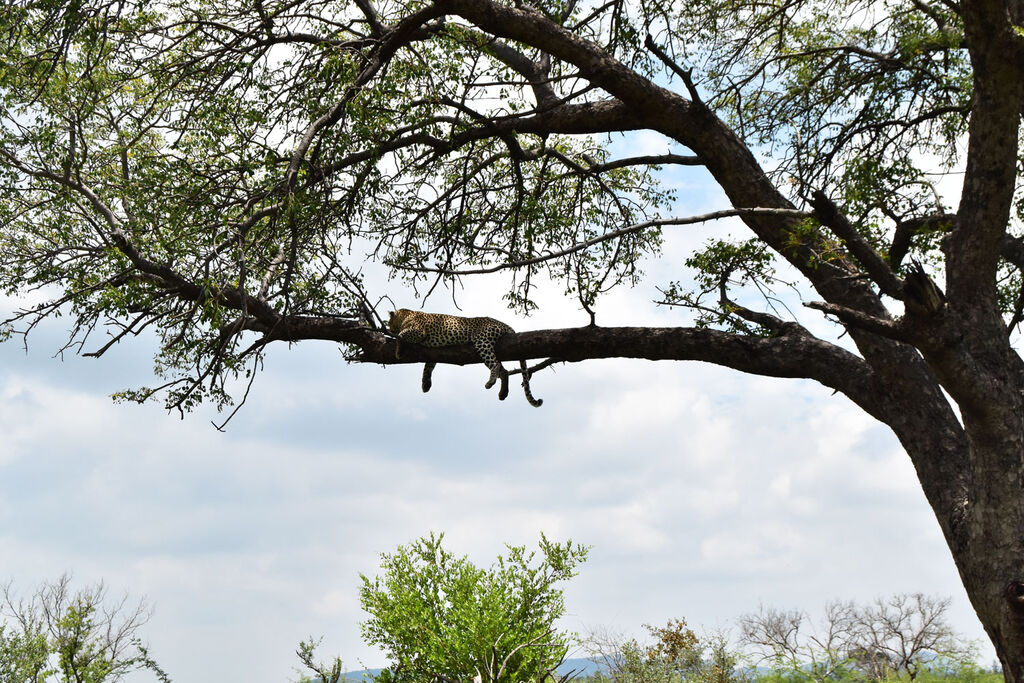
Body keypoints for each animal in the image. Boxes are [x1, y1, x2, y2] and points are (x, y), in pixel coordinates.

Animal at [387, 309, 543, 407]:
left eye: (388, 322)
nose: (389, 329)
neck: (406, 314)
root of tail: (505, 324)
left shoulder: (418, 331)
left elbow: (400, 335)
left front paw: (398, 350)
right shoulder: (432, 352)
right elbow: (428, 367)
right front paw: (426, 384)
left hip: (482, 341)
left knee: (496, 365)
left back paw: (490, 382)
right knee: (503, 371)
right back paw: (503, 393)